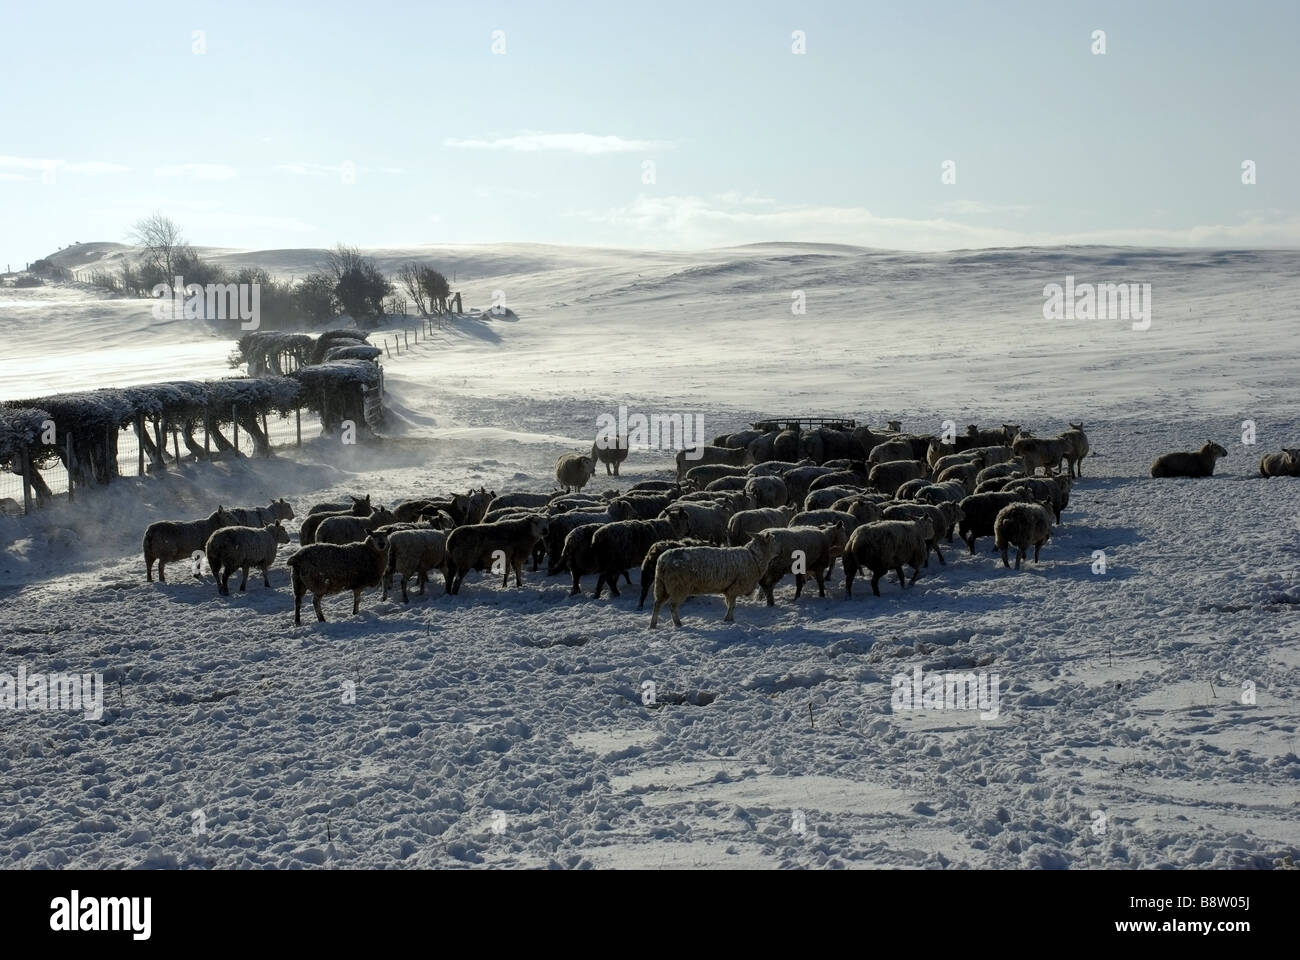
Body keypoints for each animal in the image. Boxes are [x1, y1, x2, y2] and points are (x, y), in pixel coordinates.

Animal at [650, 531, 781, 627]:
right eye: (773, 540)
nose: (779, 552)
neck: (755, 557)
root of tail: (662, 560)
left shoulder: (728, 589)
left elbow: (730, 605)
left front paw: (729, 620)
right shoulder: (734, 588)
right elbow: (732, 606)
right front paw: (728, 620)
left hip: (661, 585)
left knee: (657, 604)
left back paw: (653, 625)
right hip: (678, 586)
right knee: (672, 606)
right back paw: (678, 624)